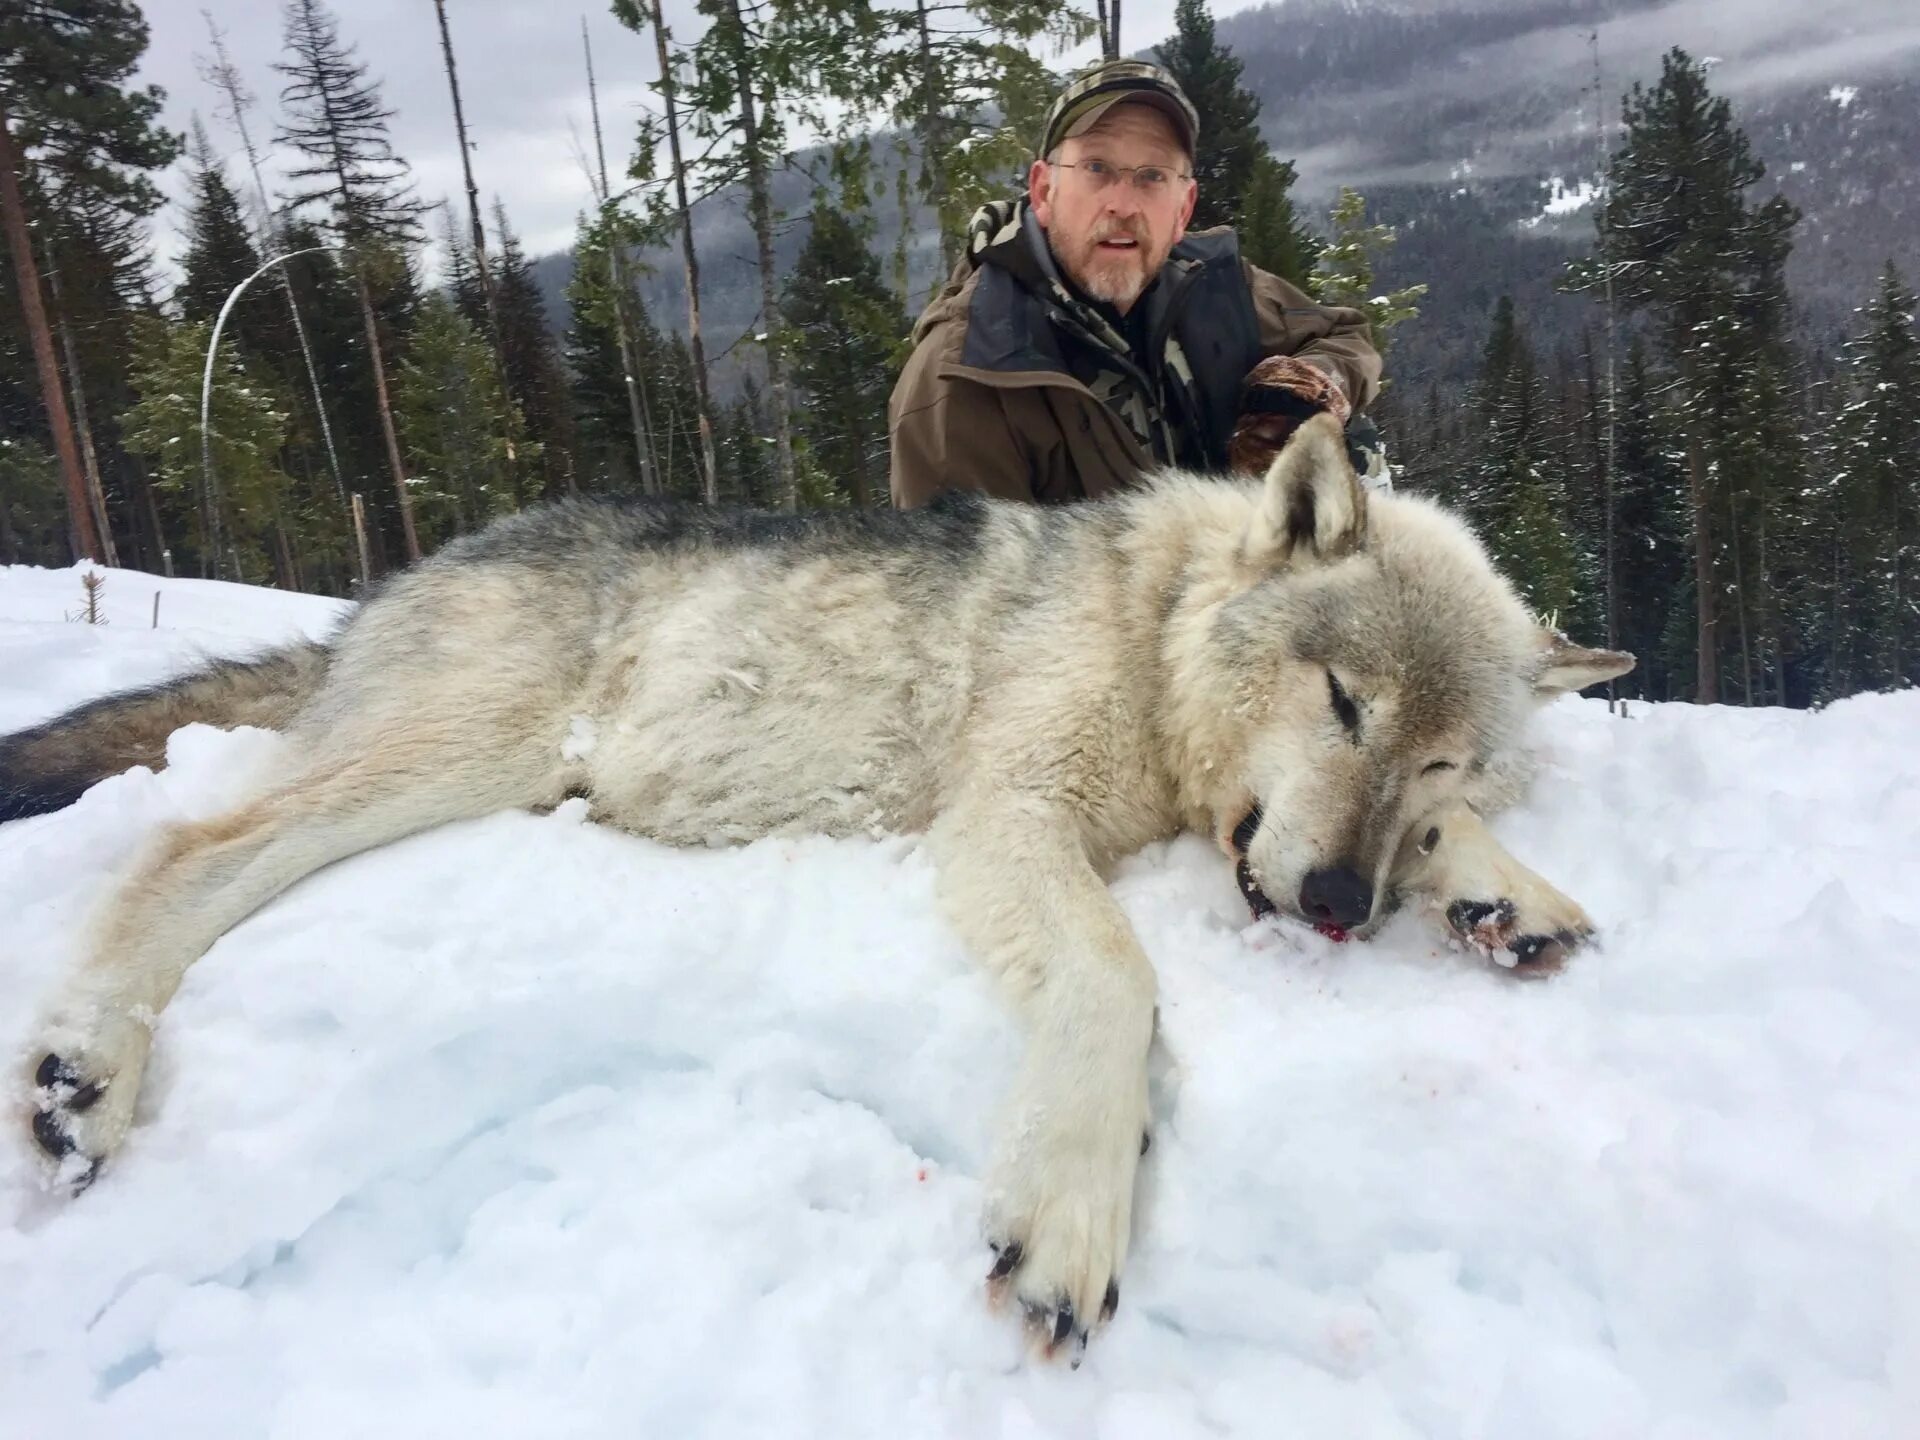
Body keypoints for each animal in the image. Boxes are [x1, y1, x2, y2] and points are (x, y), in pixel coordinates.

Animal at [7, 416, 1628, 1367]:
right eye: (1344, 702)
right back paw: (87, 1068)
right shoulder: (1009, 819)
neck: (1149, 625)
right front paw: (1071, 1214)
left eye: (1440, 758)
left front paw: (1502, 891)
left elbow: (1454, 853)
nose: (1343, 905)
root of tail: (384, 591)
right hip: (460, 756)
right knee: (193, 851)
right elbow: (1122, 982)